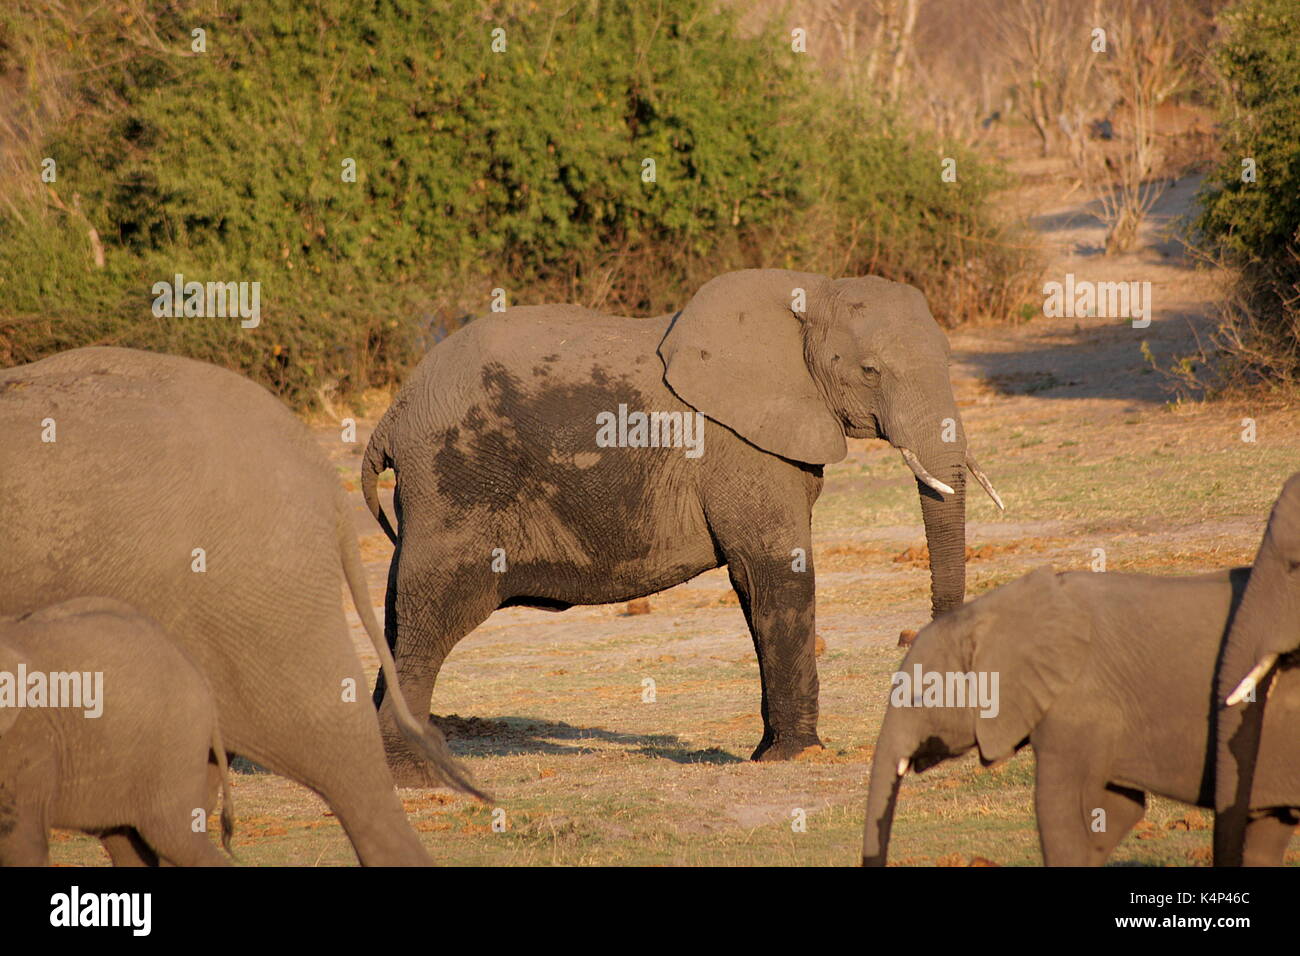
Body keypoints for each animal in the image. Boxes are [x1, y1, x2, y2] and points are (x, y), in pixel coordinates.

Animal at [363, 268, 1003, 783]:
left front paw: (767, 754)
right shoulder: (738, 444)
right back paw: (417, 778)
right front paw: (798, 757)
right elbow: (778, 571)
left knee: (398, 613)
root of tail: (390, 418)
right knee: (428, 618)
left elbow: (755, 586)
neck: (812, 292)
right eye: (870, 371)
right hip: (456, 481)